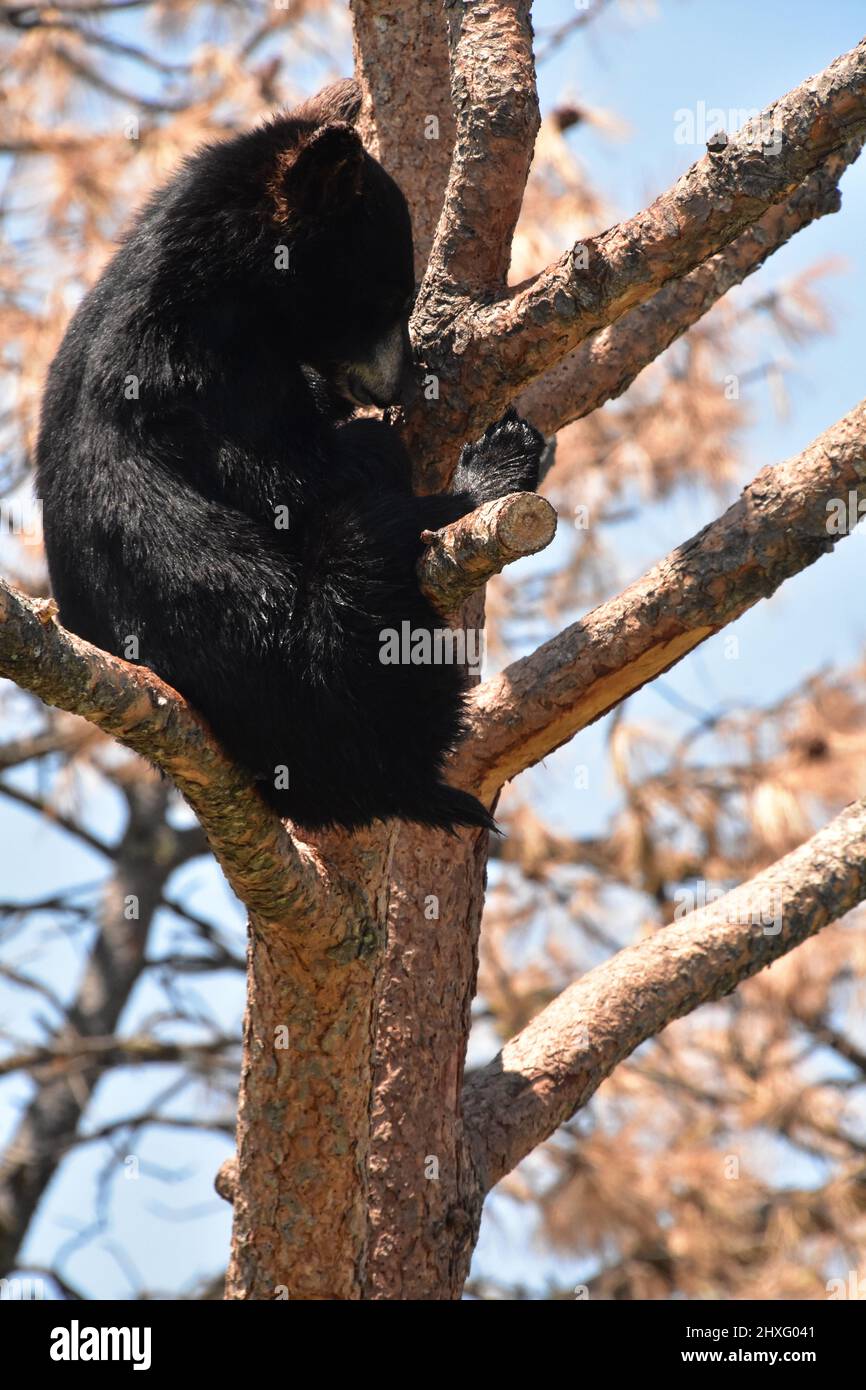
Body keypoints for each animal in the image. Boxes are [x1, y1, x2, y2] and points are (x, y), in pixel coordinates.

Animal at [35, 80, 543, 833]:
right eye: (387, 297)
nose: (396, 383)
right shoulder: (207, 374)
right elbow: (298, 475)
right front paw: (401, 447)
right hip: (326, 675)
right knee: (362, 543)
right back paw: (495, 470)